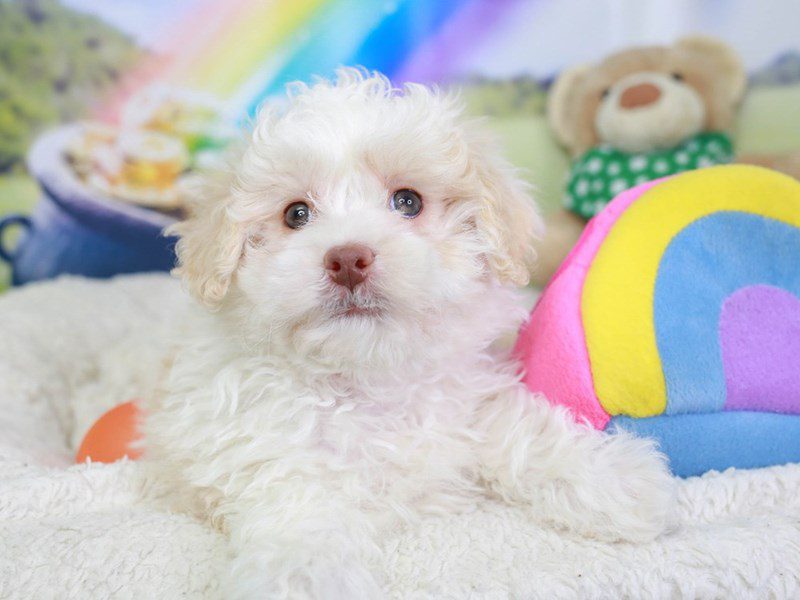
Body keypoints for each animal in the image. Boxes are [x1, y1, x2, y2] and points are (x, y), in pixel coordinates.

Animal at [142, 70, 676, 600]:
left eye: (408, 201)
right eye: (296, 214)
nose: (348, 259)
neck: (368, 379)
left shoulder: (468, 402)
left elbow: (518, 431)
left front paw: (615, 479)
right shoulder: (267, 454)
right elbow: (304, 515)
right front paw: (305, 576)